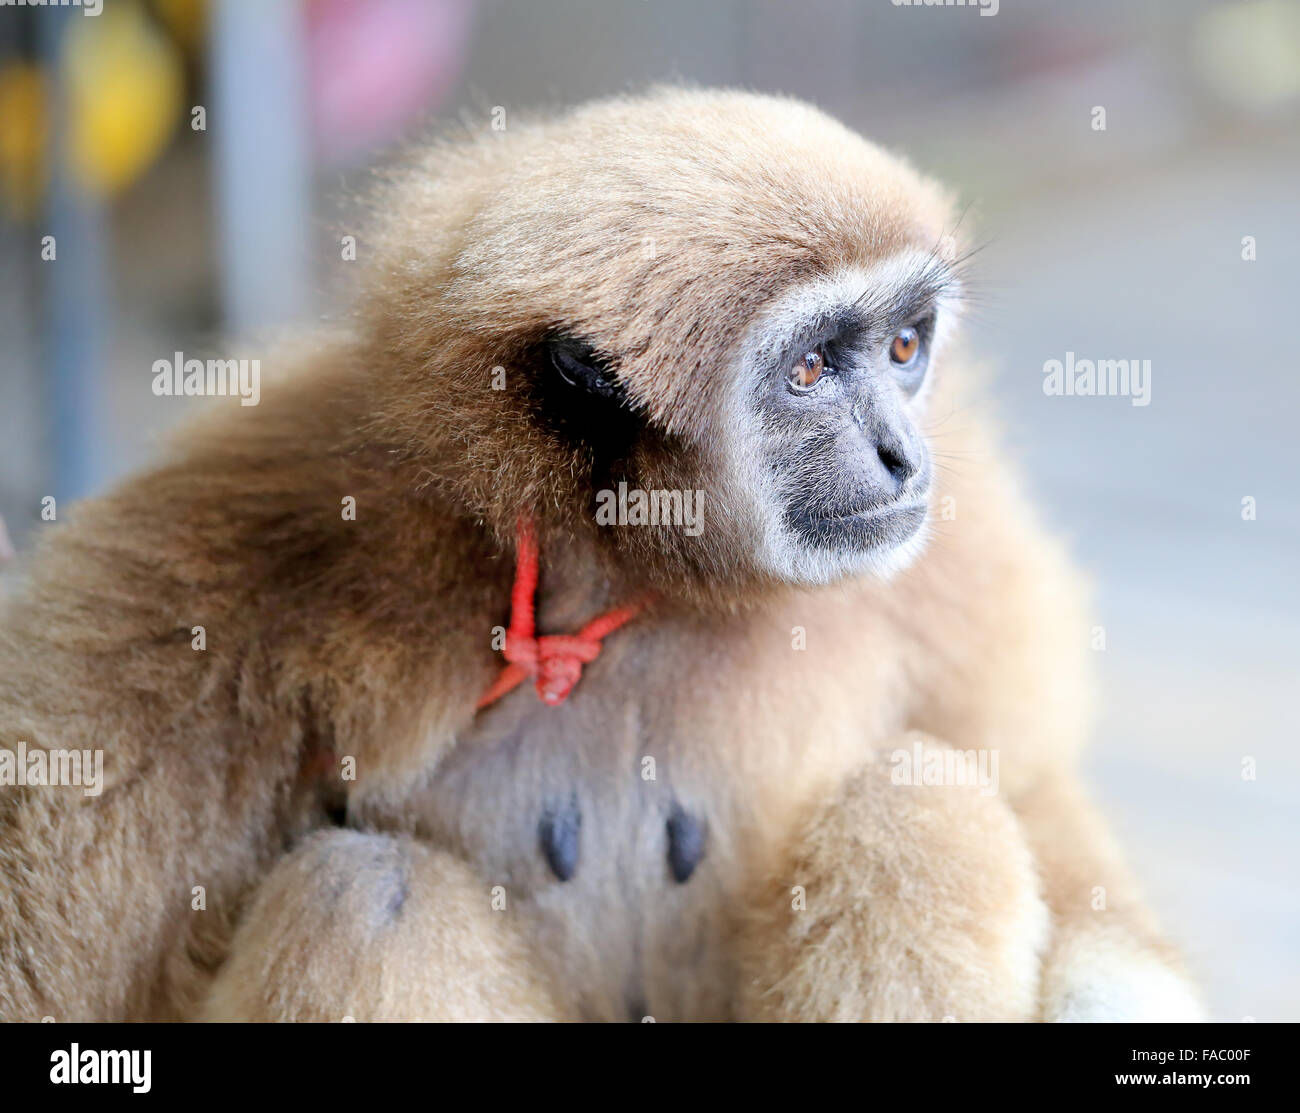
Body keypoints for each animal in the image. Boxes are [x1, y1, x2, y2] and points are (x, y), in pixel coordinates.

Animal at [0, 88, 1205, 1022]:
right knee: (369, 894)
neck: (632, 576)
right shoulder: (230, 536)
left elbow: (1036, 790)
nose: (903, 454)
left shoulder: (958, 539)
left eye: (906, 349)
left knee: (915, 802)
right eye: (810, 372)